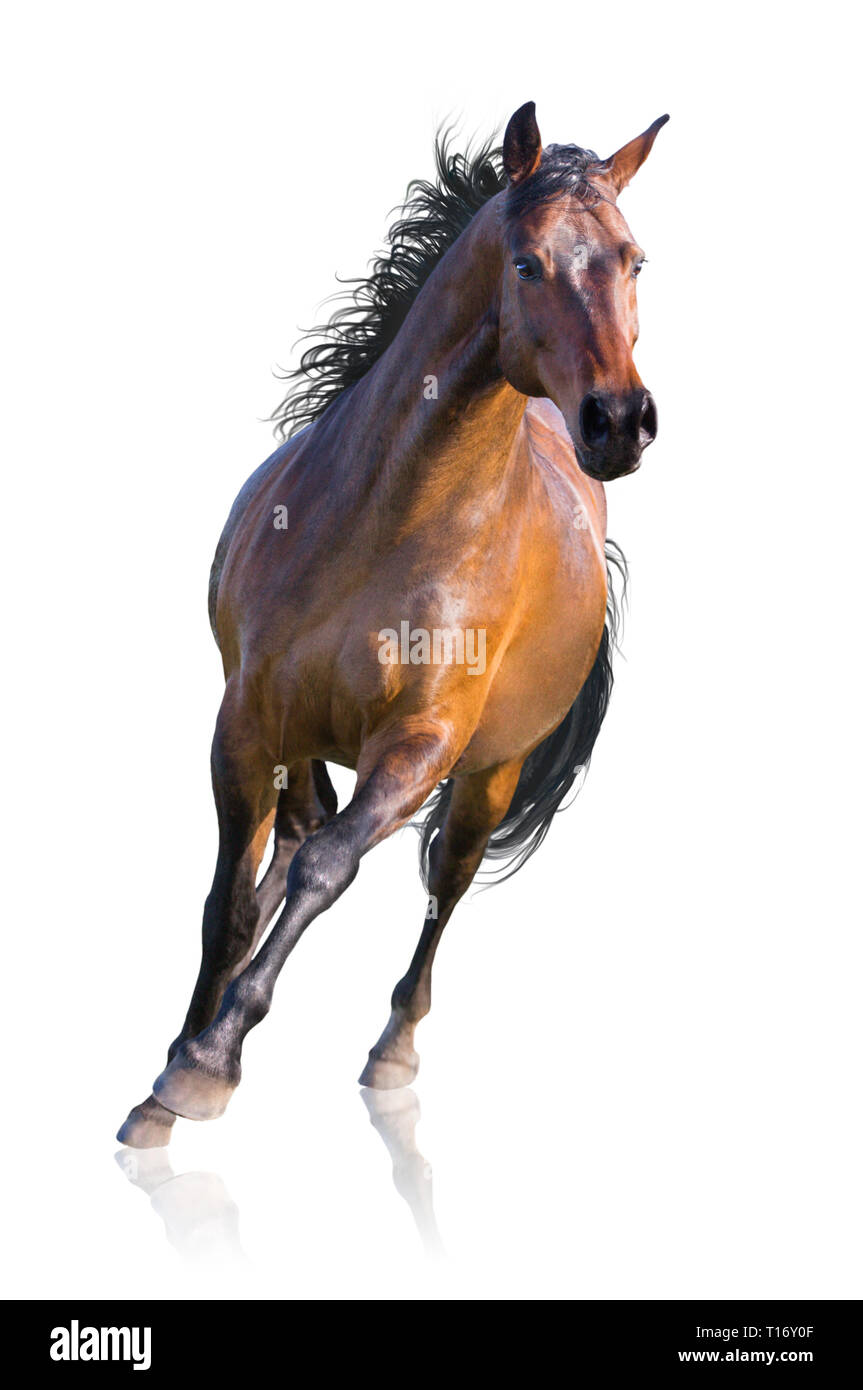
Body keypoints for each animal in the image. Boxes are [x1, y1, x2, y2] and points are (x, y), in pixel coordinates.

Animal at [118, 101, 668, 1148]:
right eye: (527, 262)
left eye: (633, 260)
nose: (618, 421)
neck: (392, 520)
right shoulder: (245, 720)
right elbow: (228, 900)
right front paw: (169, 1070)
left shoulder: (420, 746)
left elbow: (327, 868)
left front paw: (206, 1066)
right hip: (300, 738)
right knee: (292, 838)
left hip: (488, 777)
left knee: (438, 885)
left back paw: (391, 1052)